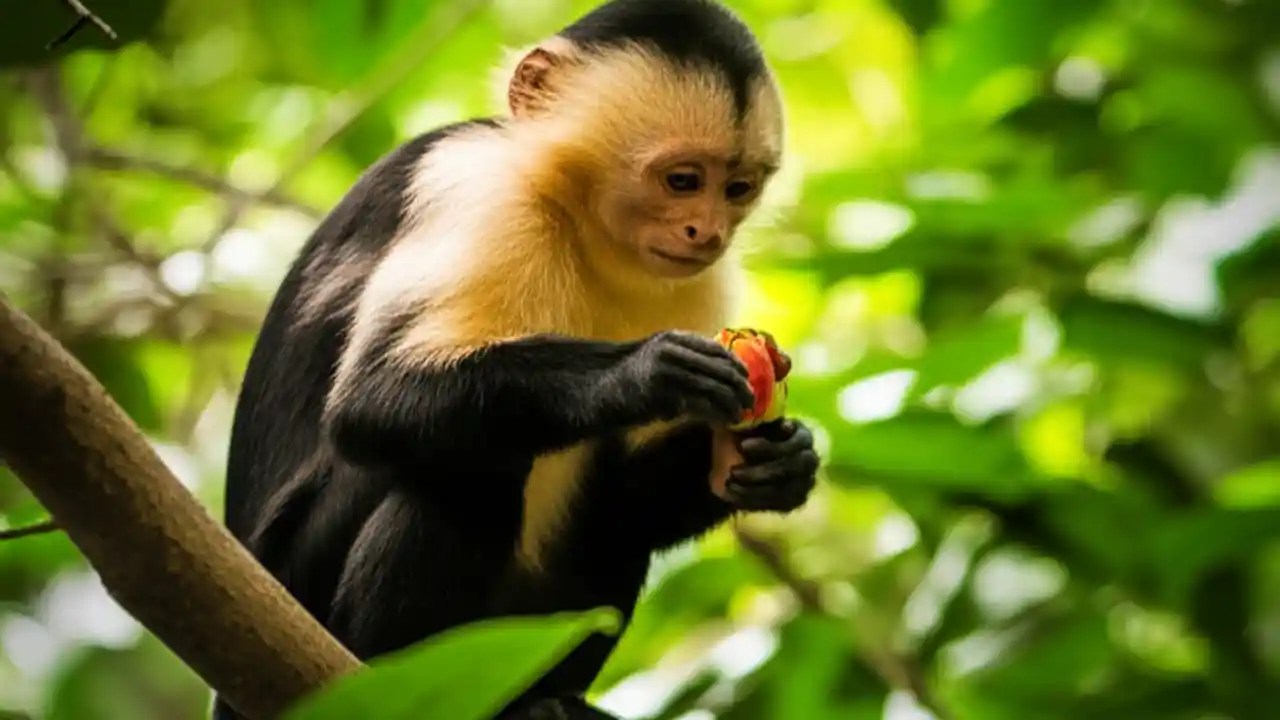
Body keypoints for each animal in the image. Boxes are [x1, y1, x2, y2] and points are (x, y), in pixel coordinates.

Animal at [214, 1, 819, 718]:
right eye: (682, 181)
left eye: (737, 188)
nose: (708, 232)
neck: (579, 221)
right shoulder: (477, 187)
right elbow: (371, 402)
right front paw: (641, 373)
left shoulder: (703, 282)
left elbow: (631, 494)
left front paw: (766, 464)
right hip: (292, 584)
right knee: (467, 475)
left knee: (603, 513)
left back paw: (548, 701)